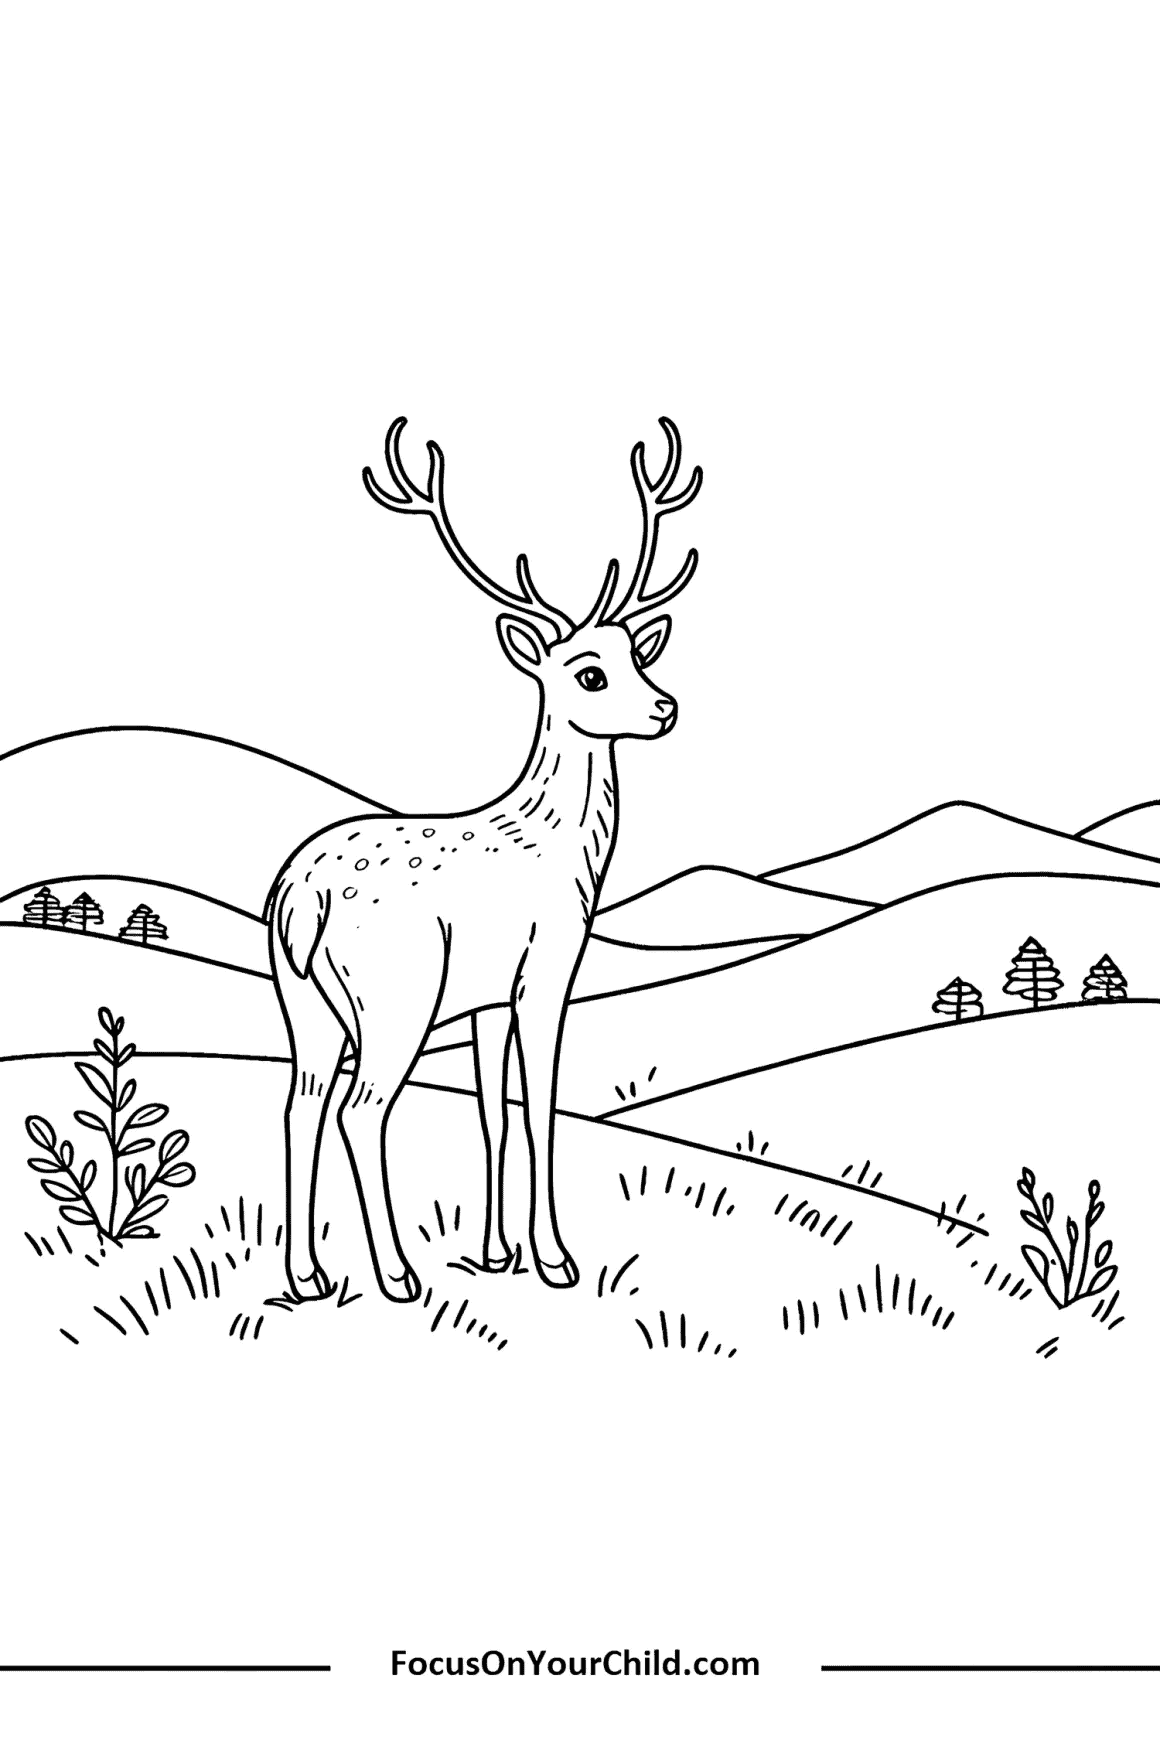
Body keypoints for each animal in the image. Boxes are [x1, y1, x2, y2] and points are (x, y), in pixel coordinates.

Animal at [267, 415, 702, 1303]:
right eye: (590, 673)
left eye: (641, 657)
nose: (666, 707)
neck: (566, 853)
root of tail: (300, 898)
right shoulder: (547, 970)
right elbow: (539, 1107)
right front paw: (557, 1259)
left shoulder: (484, 999)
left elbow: (491, 1113)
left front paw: (499, 1253)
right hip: (393, 995)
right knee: (361, 1109)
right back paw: (396, 1274)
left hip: (304, 1003)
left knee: (300, 1105)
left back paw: (309, 1274)